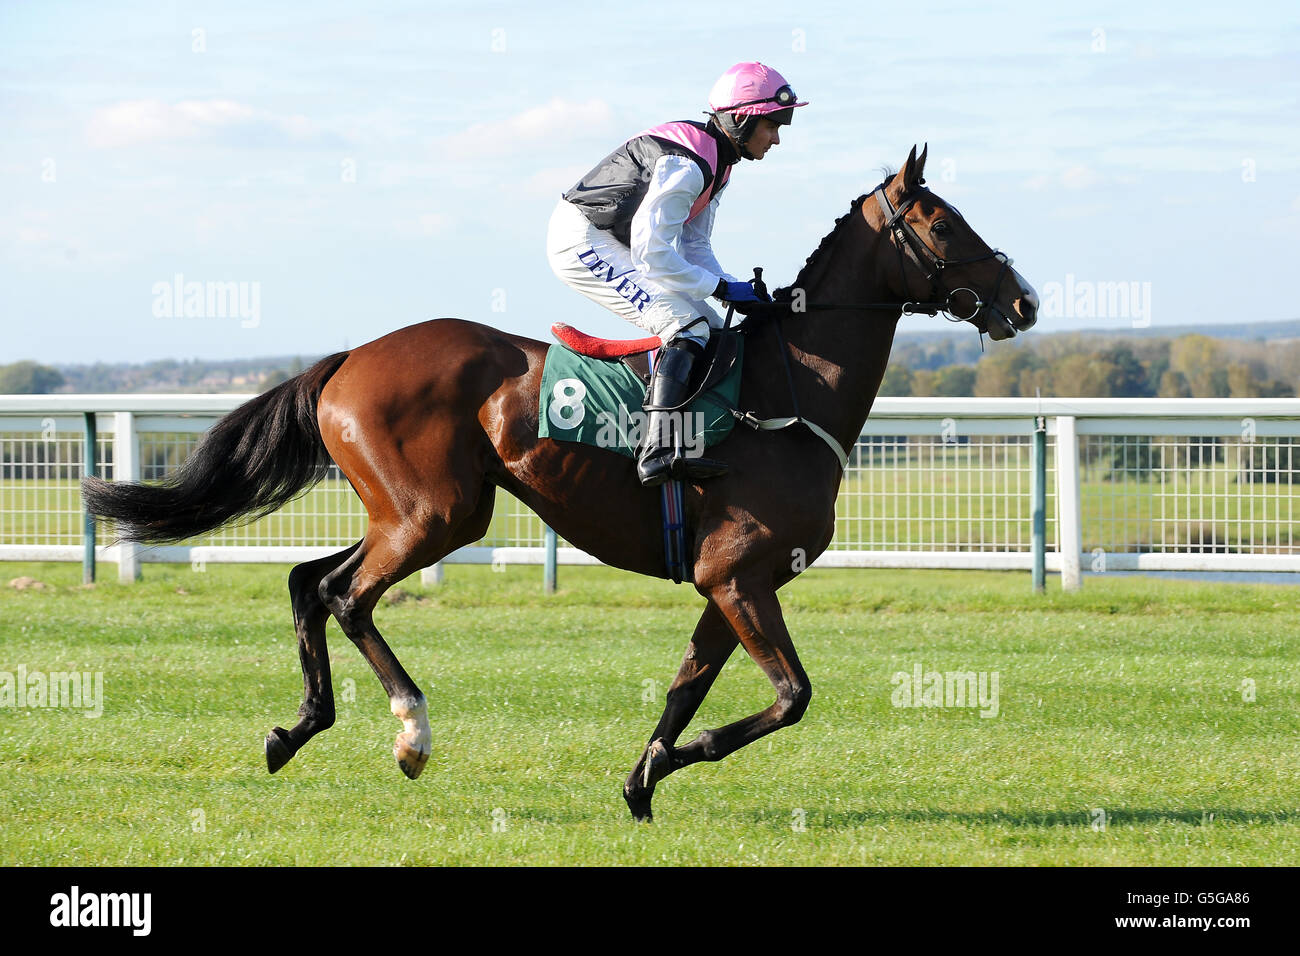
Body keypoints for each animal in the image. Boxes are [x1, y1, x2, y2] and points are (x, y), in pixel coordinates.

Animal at [82, 145, 1038, 821]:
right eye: (943, 224)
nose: (1024, 299)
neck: (787, 389)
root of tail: (351, 357)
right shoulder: (737, 572)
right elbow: (790, 696)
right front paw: (673, 761)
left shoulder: (731, 579)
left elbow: (688, 684)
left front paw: (644, 778)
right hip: (434, 516)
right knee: (347, 596)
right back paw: (411, 733)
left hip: (416, 511)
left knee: (306, 581)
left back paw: (297, 729)